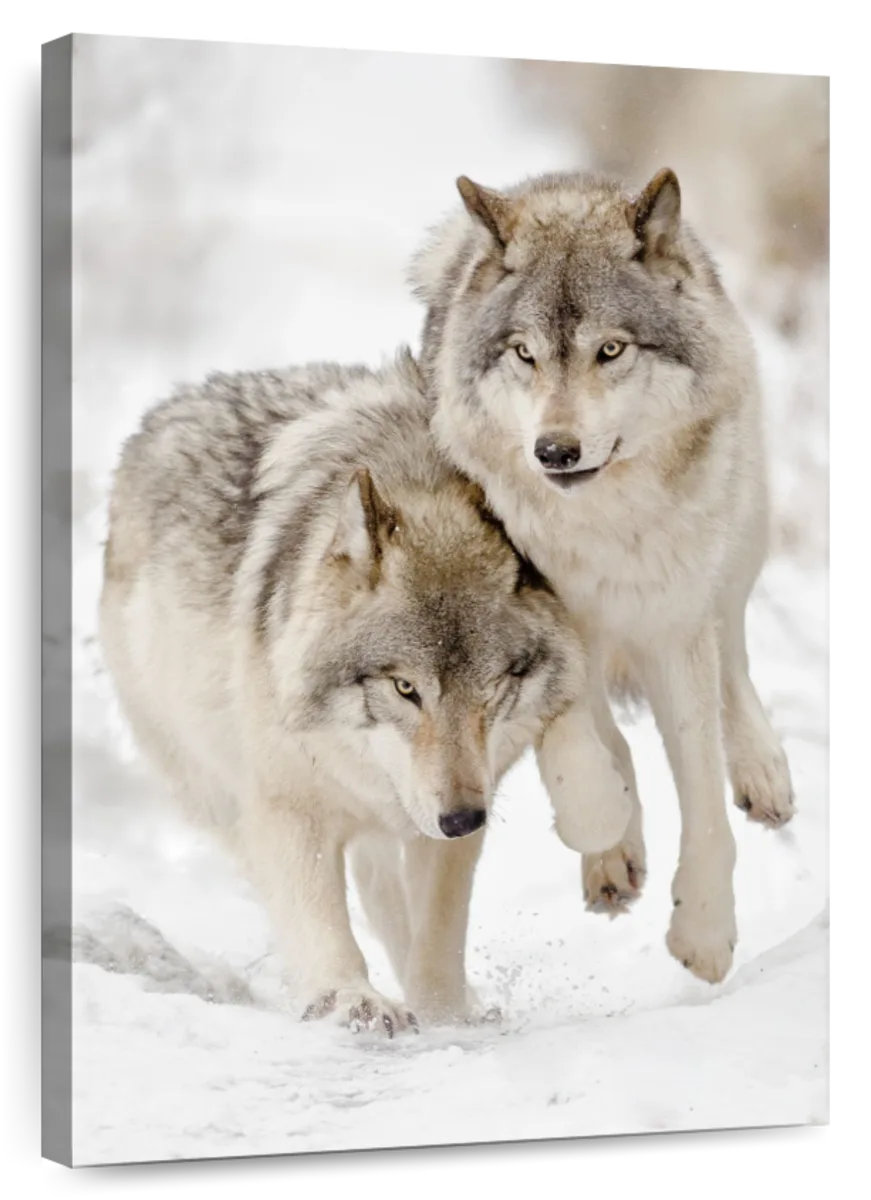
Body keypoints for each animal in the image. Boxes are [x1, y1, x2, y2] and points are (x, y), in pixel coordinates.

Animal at [100, 352, 612, 1034]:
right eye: (405, 687)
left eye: (493, 686)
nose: (461, 818)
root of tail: (166, 410)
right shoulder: (288, 807)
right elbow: (321, 920)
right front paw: (351, 1000)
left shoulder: (457, 808)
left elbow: (437, 932)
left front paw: (445, 1013)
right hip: (217, 790)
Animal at [411, 168, 795, 983]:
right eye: (524, 353)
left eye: (610, 350)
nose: (554, 451)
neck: (605, 532)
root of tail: (561, 181)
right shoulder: (540, 616)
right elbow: (575, 753)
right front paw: (604, 829)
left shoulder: (675, 625)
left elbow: (703, 797)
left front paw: (704, 932)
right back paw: (616, 853)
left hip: (740, 540)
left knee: (734, 658)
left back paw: (763, 774)